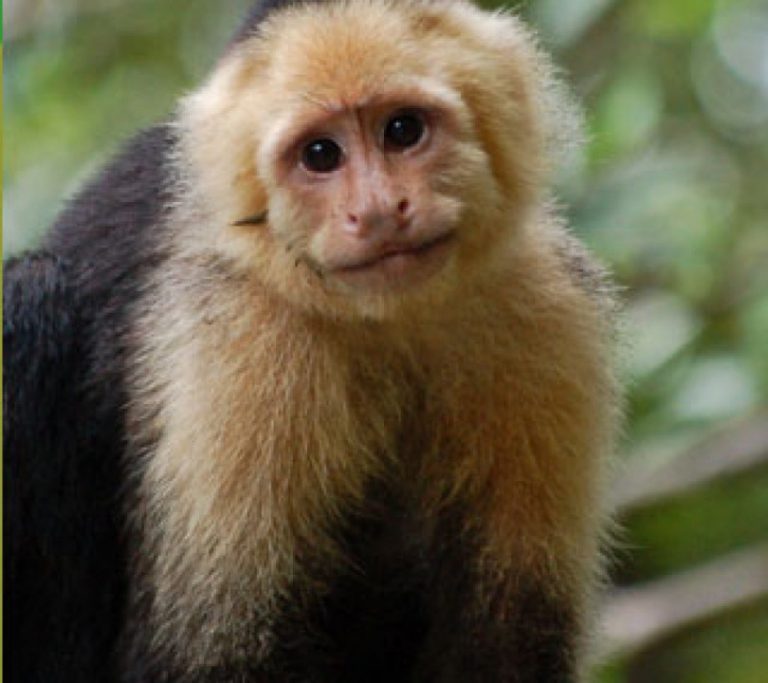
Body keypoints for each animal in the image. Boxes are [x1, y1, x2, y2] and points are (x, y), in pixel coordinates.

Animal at [3, 0, 621, 681]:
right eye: (321, 155)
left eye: (403, 130)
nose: (377, 211)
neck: (388, 320)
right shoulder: (241, 337)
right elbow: (209, 654)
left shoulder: (545, 314)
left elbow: (509, 639)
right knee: (28, 298)